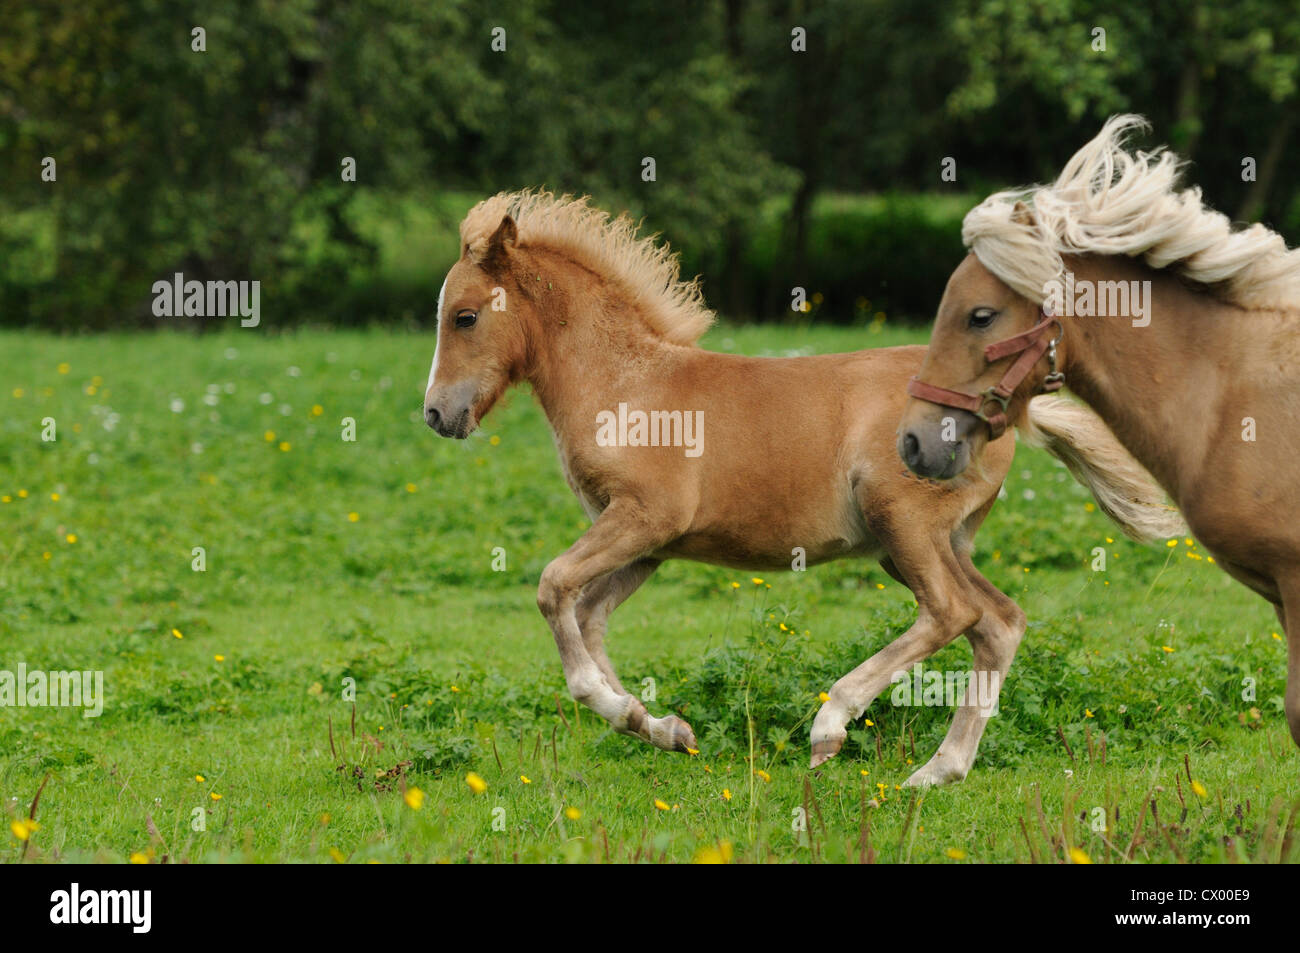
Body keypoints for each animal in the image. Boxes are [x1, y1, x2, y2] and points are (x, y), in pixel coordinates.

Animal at [422, 189, 1176, 785]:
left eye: (464, 316)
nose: (436, 415)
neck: (625, 382)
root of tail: (1007, 411)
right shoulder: (648, 546)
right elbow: (589, 616)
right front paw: (659, 726)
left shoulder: (644, 519)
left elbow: (555, 590)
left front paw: (630, 712)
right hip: (931, 541)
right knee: (998, 622)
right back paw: (937, 771)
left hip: (902, 521)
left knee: (951, 613)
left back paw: (832, 725)